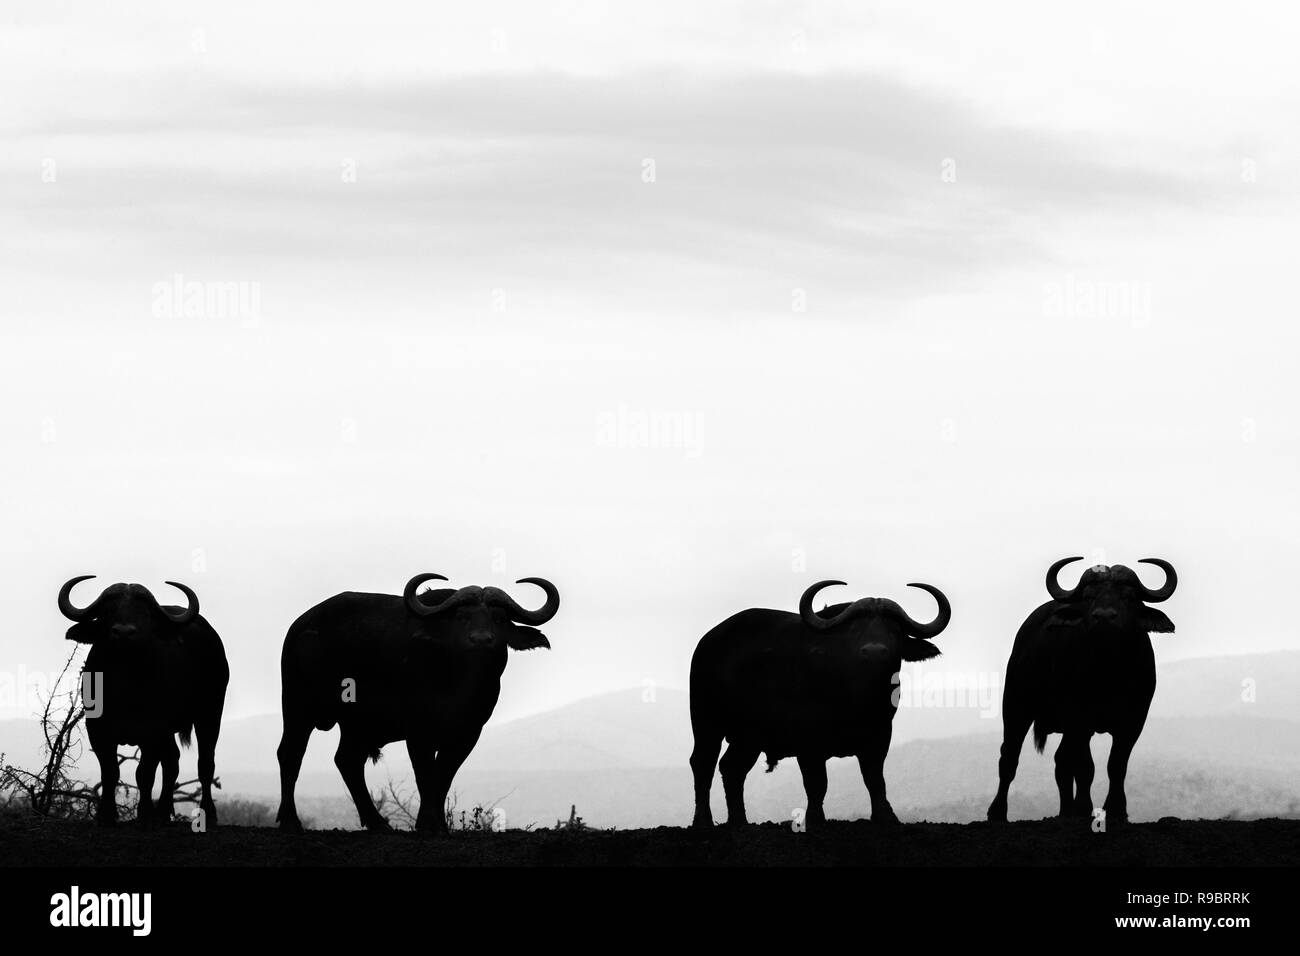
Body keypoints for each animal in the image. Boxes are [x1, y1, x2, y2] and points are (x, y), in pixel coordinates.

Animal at [57, 575, 229, 826]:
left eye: (144, 613)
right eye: (108, 610)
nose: (123, 632)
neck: (126, 684)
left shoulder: (153, 731)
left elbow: (144, 774)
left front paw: (144, 813)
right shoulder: (97, 728)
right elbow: (110, 771)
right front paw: (106, 814)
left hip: (210, 713)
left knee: (205, 764)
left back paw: (207, 813)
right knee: (172, 762)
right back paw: (164, 811)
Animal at [275, 572, 559, 833]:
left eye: (499, 618)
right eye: (462, 617)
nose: (481, 640)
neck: (458, 683)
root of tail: (299, 626)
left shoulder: (468, 733)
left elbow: (443, 776)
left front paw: (439, 826)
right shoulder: (418, 731)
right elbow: (425, 775)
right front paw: (427, 825)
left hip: (356, 726)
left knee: (347, 760)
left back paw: (378, 823)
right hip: (297, 707)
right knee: (290, 754)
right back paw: (290, 821)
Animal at [689, 579, 951, 828]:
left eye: (894, 629)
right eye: (855, 629)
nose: (875, 652)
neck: (857, 696)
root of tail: (707, 643)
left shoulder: (880, 734)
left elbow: (874, 778)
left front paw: (886, 816)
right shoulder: (808, 742)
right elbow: (817, 783)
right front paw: (815, 818)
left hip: (748, 737)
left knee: (732, 768)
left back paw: (739, 820)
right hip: (706, 723)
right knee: (703, 763)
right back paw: (703, 820)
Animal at [987, 556, 1177, 825]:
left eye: (1129, 597)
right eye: (1089, 597)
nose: (1104, 617)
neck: (1108, 669)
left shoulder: (1134, 721)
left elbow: (1116, 765)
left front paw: (1116, 810)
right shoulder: (1079, 719)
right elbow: (1086, 767)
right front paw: (1085, 808)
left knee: (1061, 761)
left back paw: (1066, 810)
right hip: (1015, 706)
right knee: (1009, 757)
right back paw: (997, 812)